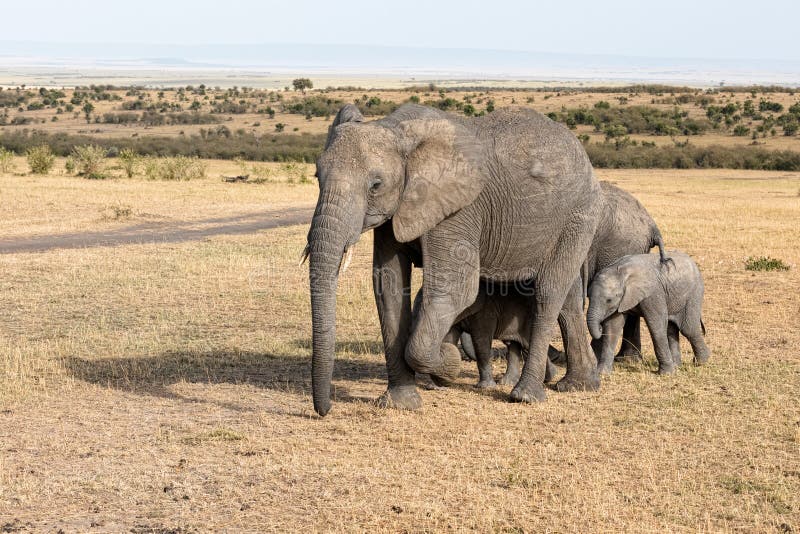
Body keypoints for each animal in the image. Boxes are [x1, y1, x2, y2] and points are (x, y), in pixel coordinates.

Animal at [305, 103, 603, 416]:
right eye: (317, 177)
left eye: (376, 185)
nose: (324, 410)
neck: (398, 131)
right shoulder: (395, 213)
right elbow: (389, 288)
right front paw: (400, 403)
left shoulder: (459, 210)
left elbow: (457, 290)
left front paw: (448, 360)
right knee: (567, 299)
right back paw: (580, 385)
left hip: (579, 215)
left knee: (548, 294)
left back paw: (525, 396)